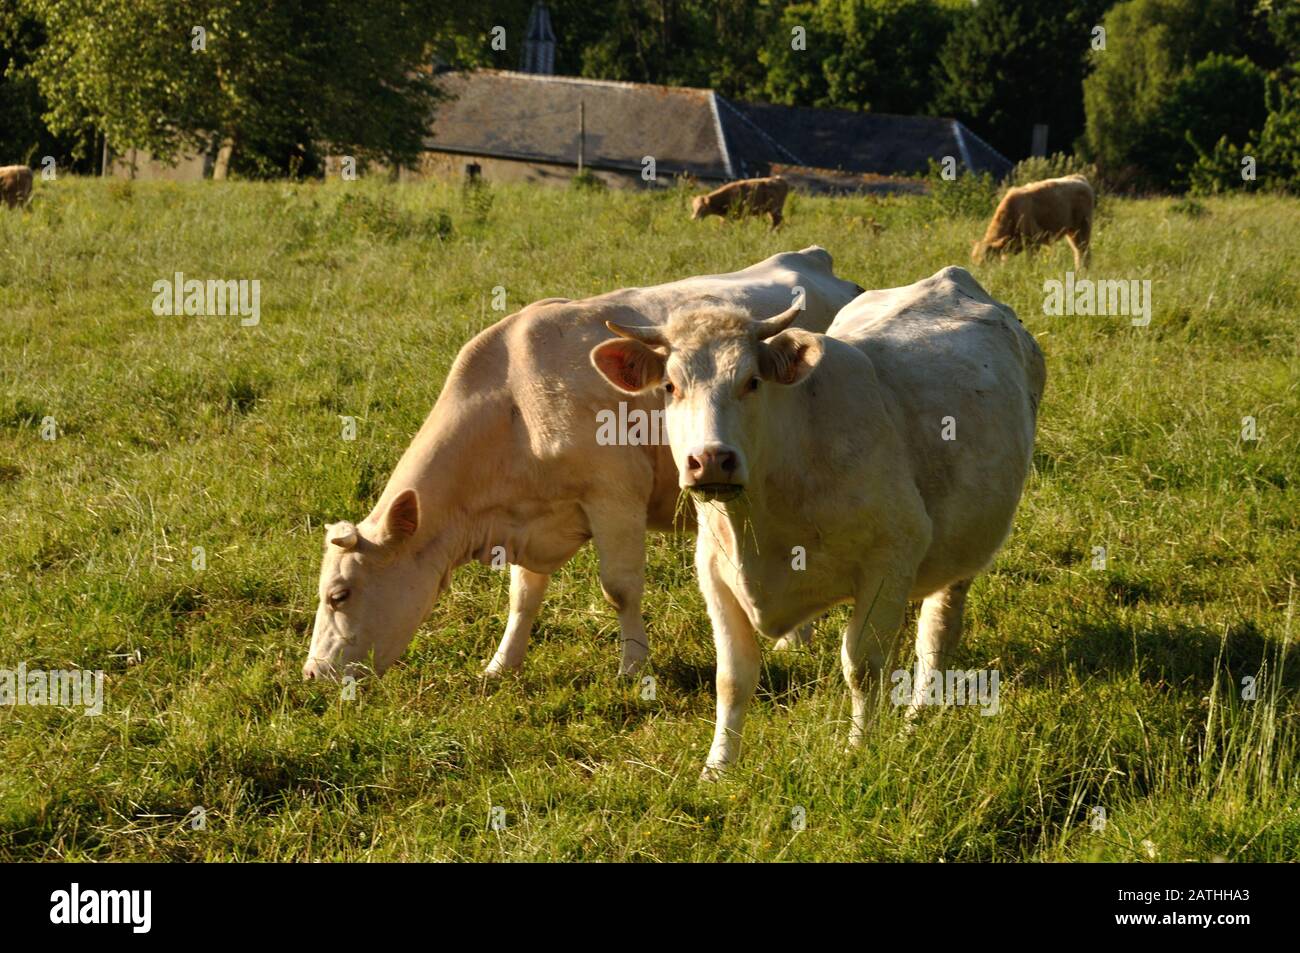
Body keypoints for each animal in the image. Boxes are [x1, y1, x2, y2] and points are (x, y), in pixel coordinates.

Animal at [302, 247, 864, 682]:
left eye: (338, 594)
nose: (313, 674)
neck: (514, 403)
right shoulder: (530, 518)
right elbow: (523, 597)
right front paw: (501, 665)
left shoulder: (614, 497)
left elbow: (620, 589)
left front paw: (633, 668)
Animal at [589, 266, 1045, 776]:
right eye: (670, 386)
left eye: (752, 381)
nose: (710, 460)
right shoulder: (714, 573)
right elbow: (732, 678)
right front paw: (718, 767)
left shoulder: (891, 556)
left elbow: (862, 667)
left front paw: (859, 748)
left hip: (963, 550)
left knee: (936, 634)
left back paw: (917, 717)